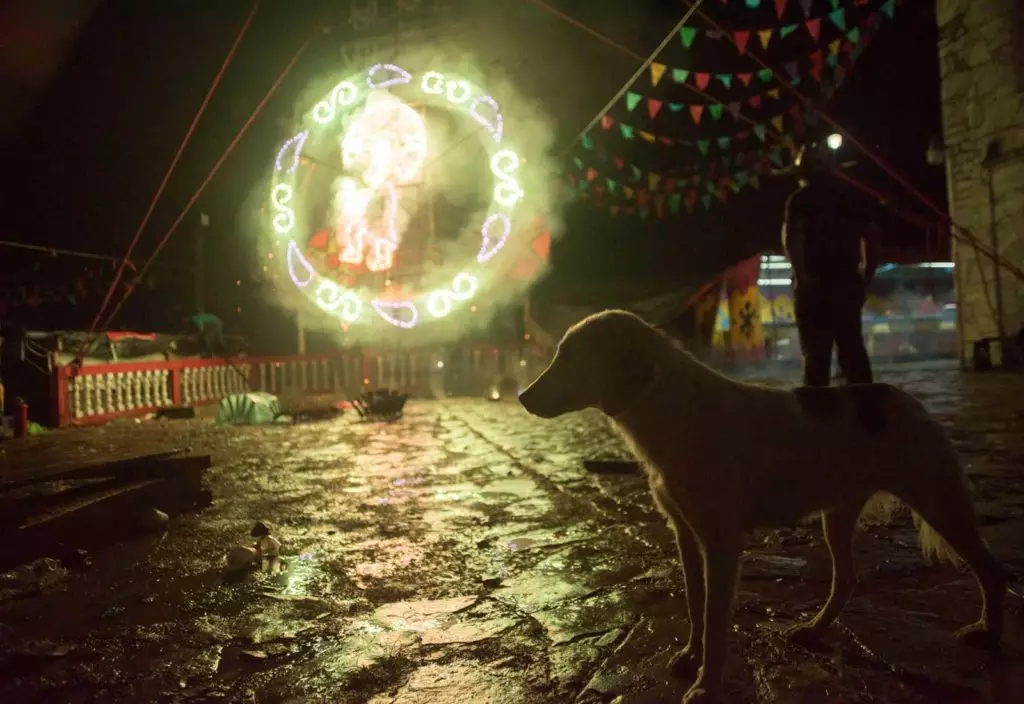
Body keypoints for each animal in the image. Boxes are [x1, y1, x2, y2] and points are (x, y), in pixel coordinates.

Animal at [520, 311, 1007, 704]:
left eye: (569, 357)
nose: (522, 397)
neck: (672, 411)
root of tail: (905, 398)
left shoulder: (720, 543)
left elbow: (715, 622)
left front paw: (706, 686)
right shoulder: (685, 534)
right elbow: (695, 606)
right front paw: (690, 657)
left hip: (940, 502)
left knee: (992, 569)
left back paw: (990, 634)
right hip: (838, 514)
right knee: (846, 580)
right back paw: (815, 629)